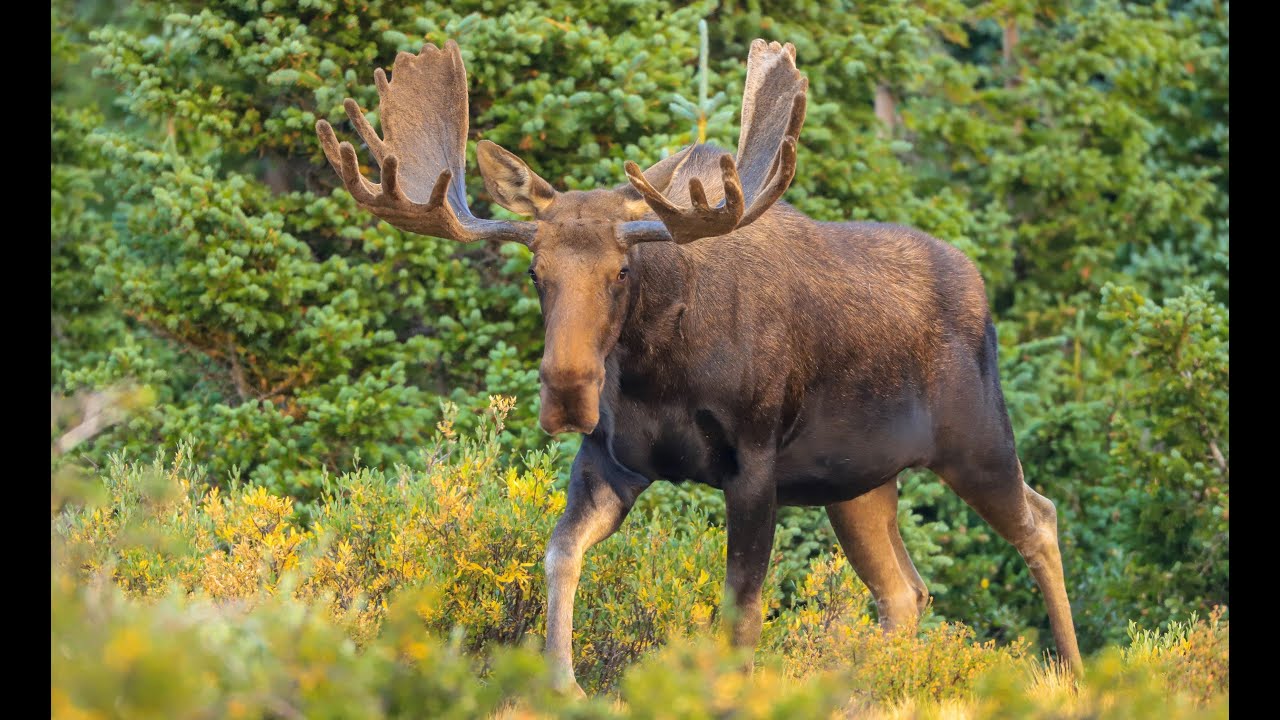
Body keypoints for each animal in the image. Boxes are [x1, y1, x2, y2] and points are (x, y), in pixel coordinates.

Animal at [315, 39, 1083, 695]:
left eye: (622, 269)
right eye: (536, 270)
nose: (567, 393)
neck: (659, 369)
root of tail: (981, 289)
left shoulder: (755, 463)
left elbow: (741, 610)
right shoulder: (613, 461)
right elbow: (559, 553)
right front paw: (563, 682)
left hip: (976, 441)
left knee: (1039, 520)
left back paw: (1076, 674)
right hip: (859, 483)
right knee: (904, 590)